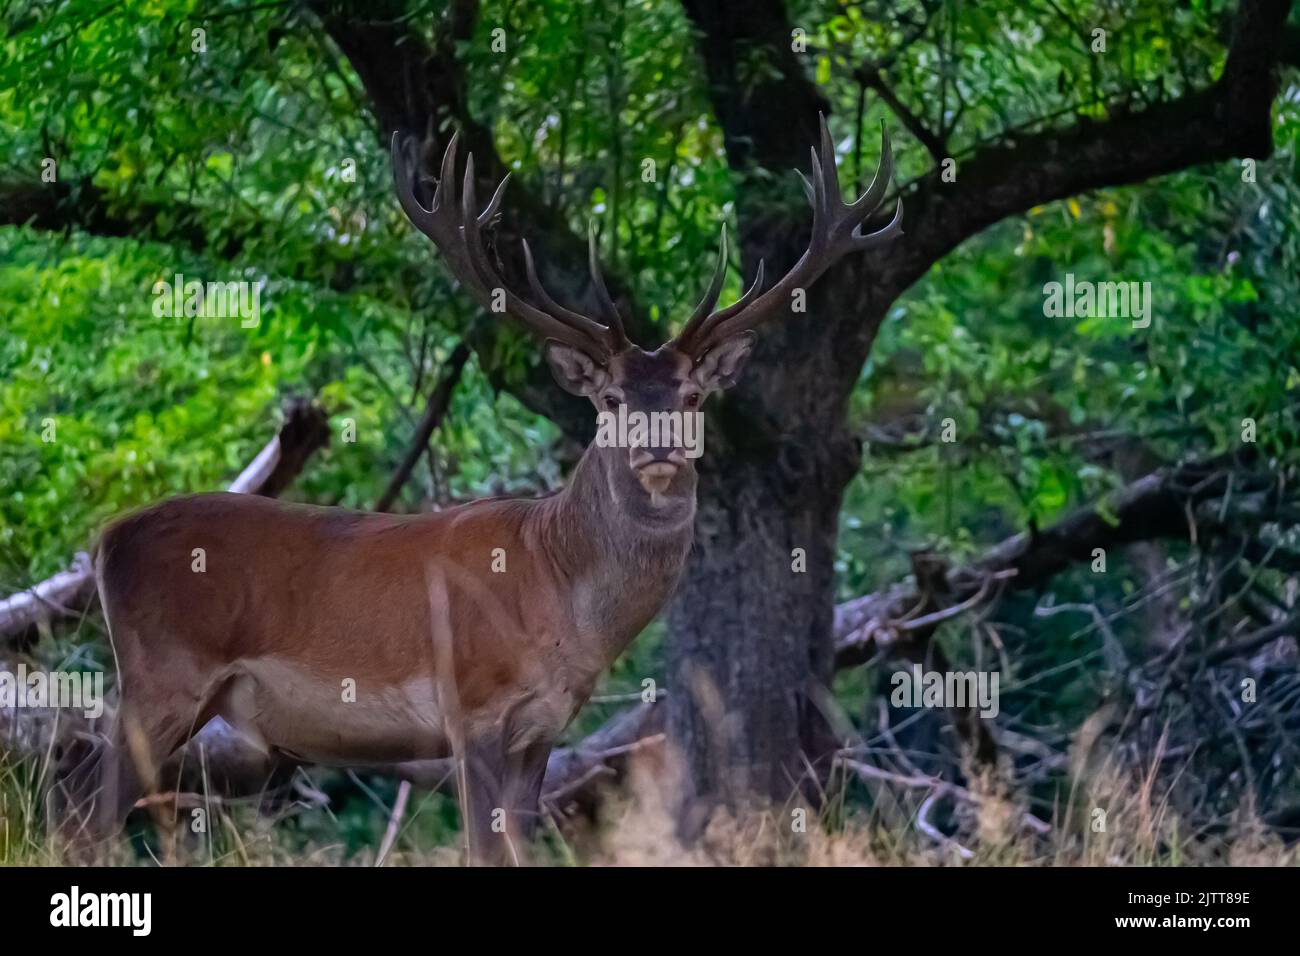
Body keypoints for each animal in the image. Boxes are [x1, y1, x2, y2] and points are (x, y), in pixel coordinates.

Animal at [58, 115, 901, 863]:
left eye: (693, 395)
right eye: (611, 399)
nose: (660, 447)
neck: (557, 591)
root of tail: (103, 539)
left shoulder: (544, 727)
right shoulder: (471, 709)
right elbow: (481, 849)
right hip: (163, 675)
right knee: (84, 812)